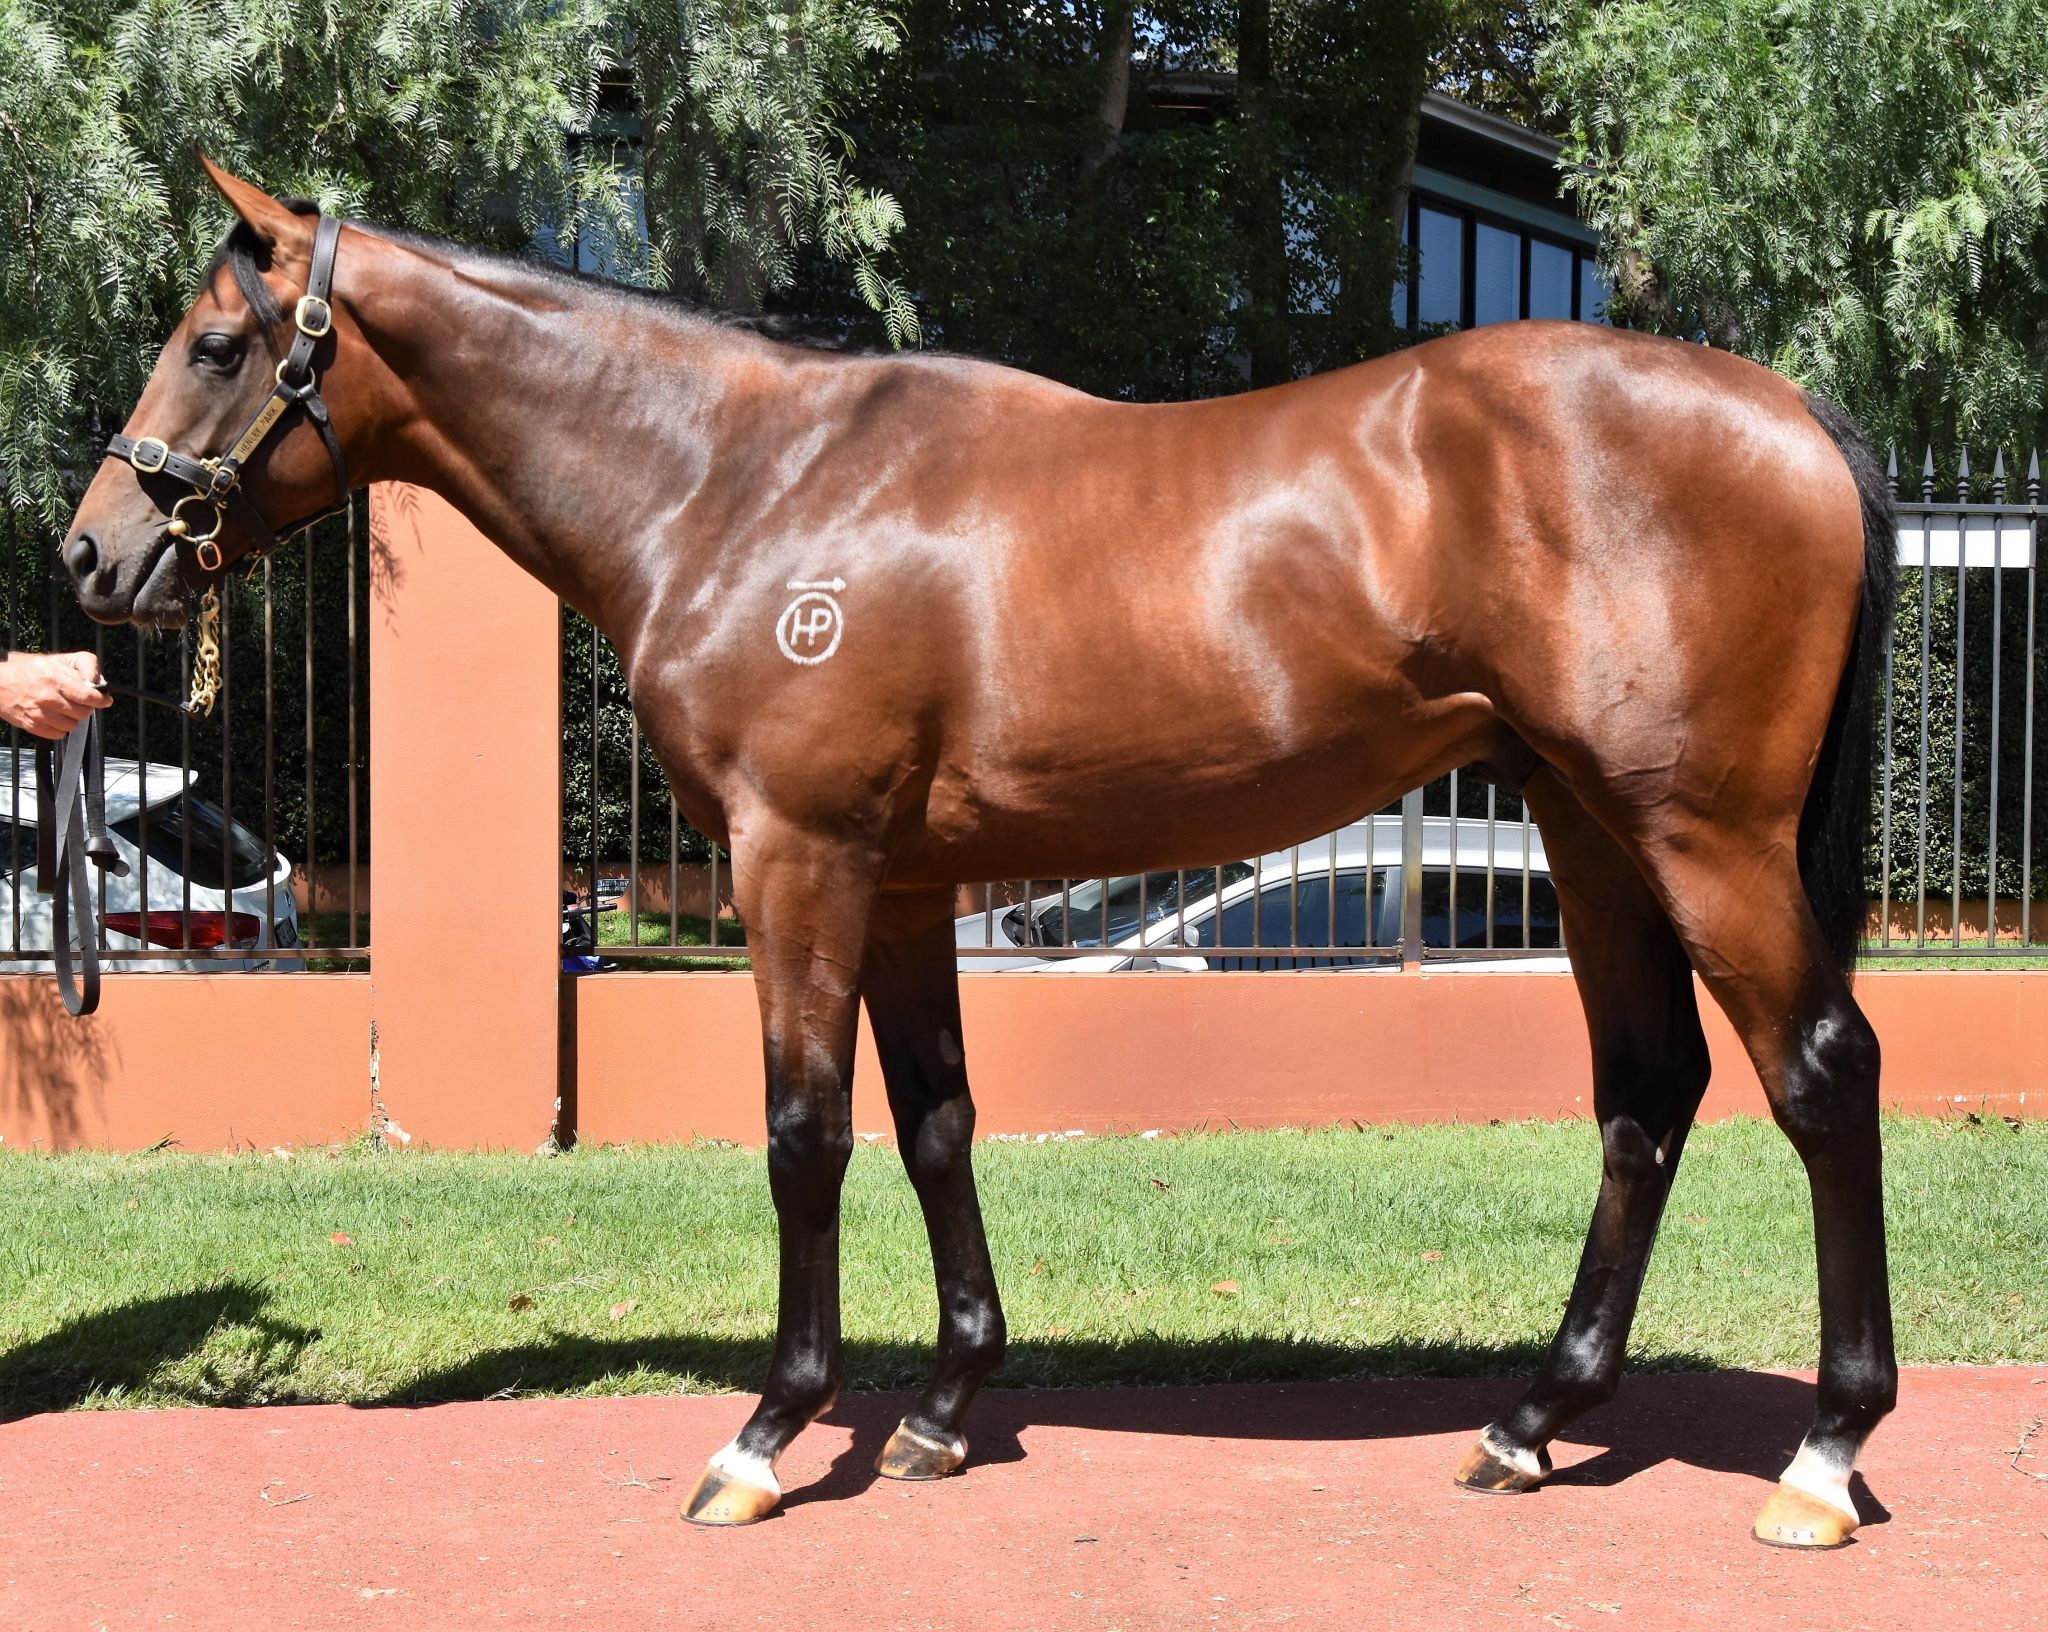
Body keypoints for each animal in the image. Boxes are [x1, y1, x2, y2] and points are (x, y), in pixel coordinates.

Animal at [61, 157, 1898, 1550]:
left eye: (216, 341)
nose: (89, 554)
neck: (739, 482)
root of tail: (1799, 418)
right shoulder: (902, 883)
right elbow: (936, 1121)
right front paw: (944, 1407)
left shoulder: (795, 863)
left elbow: (805, 1135)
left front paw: (766, 1434)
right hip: (1591, 830)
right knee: (1647, 1089)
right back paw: (1531, 1417)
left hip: (1699, 835)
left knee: (1817, 1072)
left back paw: (1822, 1455)